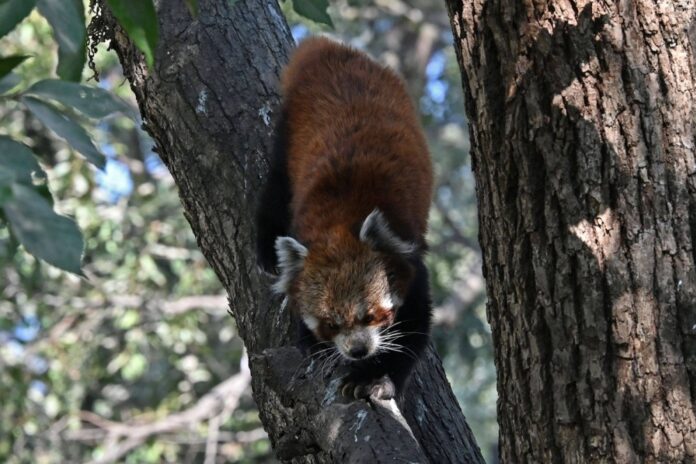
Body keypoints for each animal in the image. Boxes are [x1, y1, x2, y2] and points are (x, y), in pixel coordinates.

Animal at [256, 37, 430, 398]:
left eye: (371, 316)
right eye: (331, 324)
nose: (358, 350)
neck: (339, 224)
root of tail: (329, 49)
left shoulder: (409, 256)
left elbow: (413, 331)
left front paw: (374, 377)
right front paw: (313, 342)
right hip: (288, 129)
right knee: (276, 185)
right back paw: (265, 247)